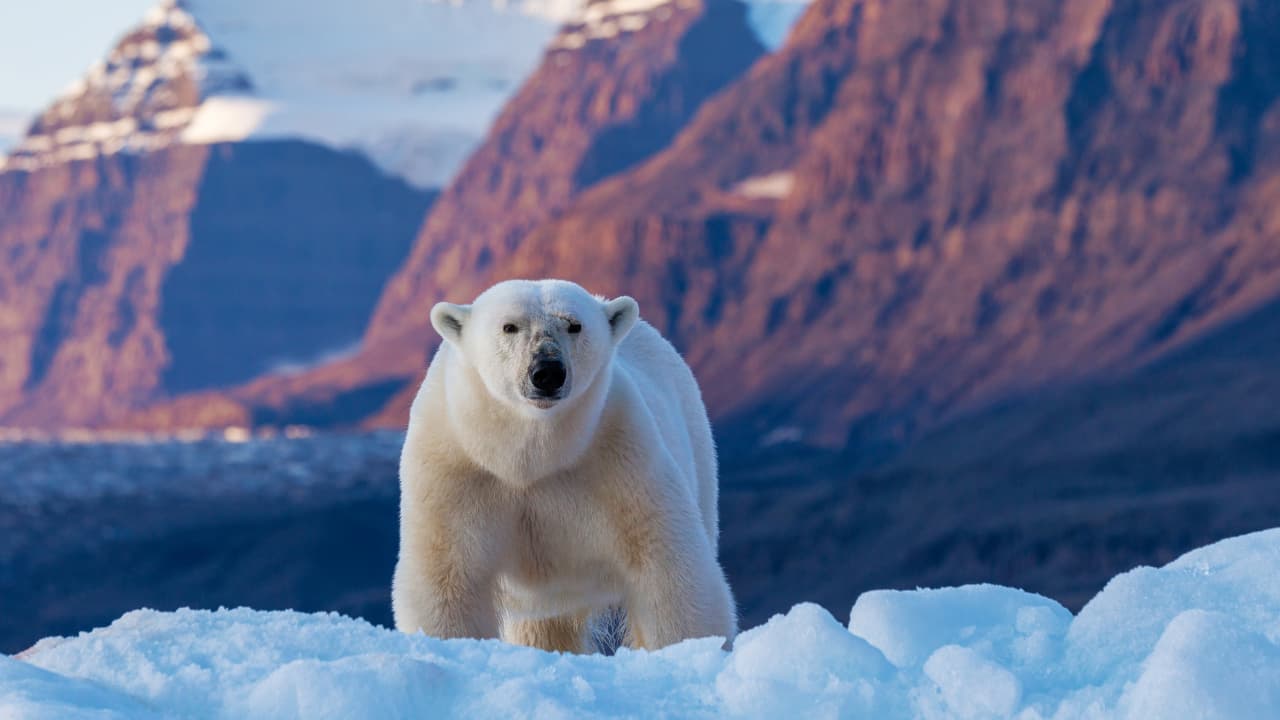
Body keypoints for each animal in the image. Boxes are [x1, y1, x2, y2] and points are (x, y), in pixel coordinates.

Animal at [391, 278, 737, 652]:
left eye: (574, 325)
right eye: (510, 326)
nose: (547, 372)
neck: (530, 459)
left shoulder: (620, 458)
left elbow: (667, 567)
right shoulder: (455, 471)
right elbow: (447, 579)